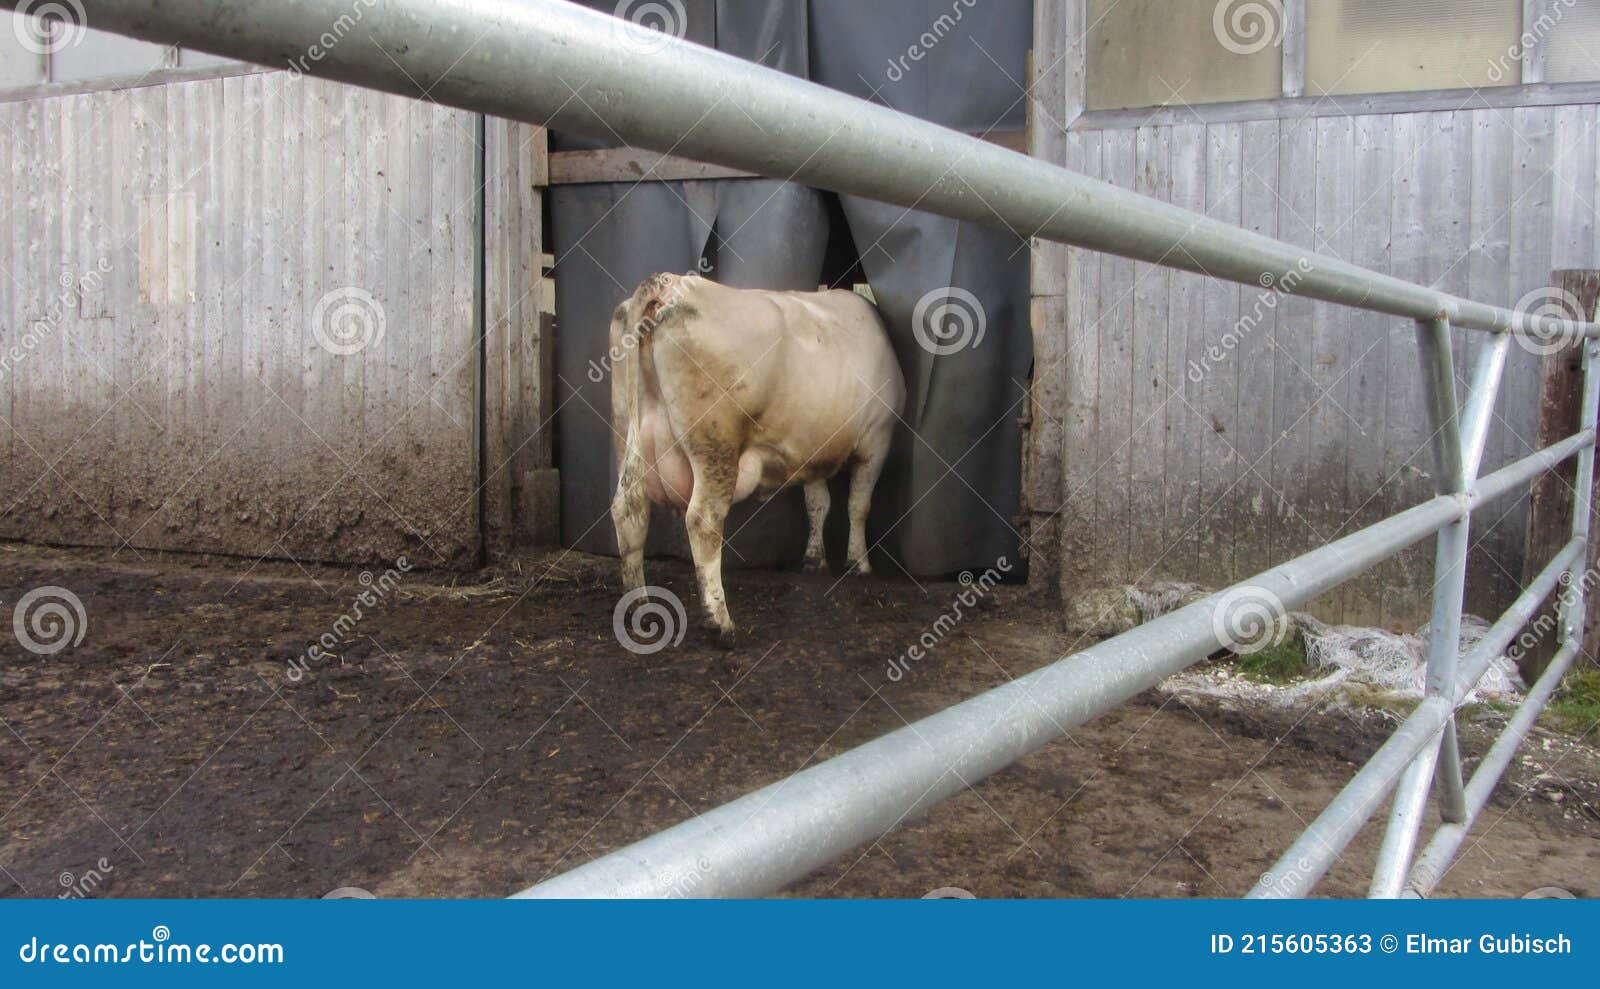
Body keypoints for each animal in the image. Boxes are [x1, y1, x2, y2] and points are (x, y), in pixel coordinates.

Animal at [609, 273, 906, 641]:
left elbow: (818, 503)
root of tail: (669, 283)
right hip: (715, 444)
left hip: (626, 431)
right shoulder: (877, 439)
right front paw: (859, 564)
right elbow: (859, 506)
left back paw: (637, 602)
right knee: (703, 520)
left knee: (629, 512)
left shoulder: (812, 449)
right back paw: (720, 621)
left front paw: (814, 559)